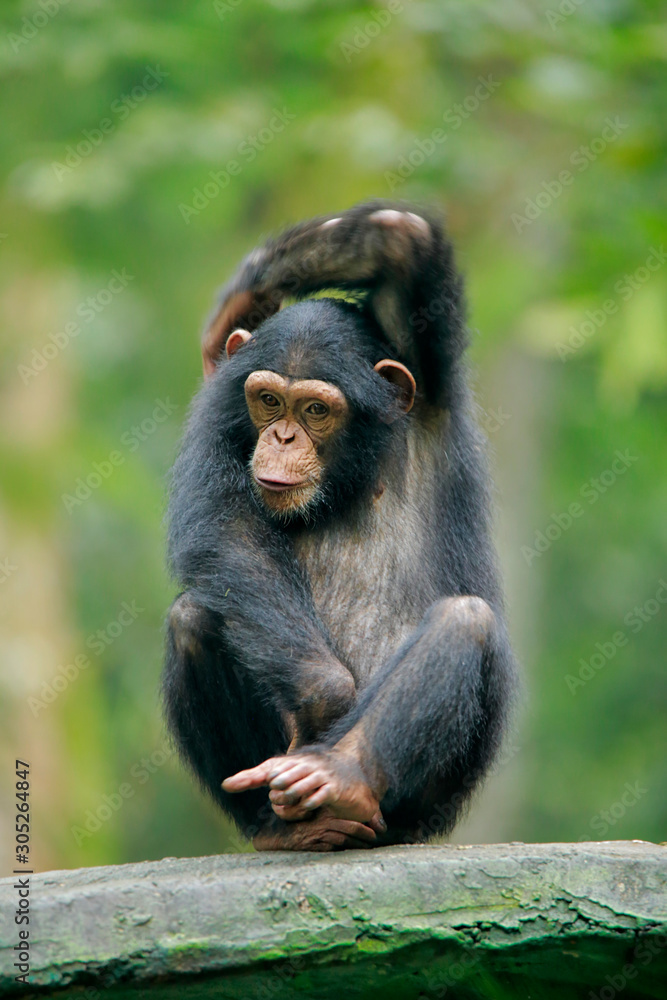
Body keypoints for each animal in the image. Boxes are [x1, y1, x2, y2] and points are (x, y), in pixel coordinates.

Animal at [162, 201, 517, 851]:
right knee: (192, 618)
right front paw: (323, 699)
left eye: (316, 410)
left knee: (465, 621)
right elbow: (227, 527)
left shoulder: (428, 386)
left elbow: (405, 245)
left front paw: (241, 297)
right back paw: (282, 825)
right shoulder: (220, 412)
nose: (281, 438)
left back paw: (339, 779)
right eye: (268, 401)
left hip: (432, 804)